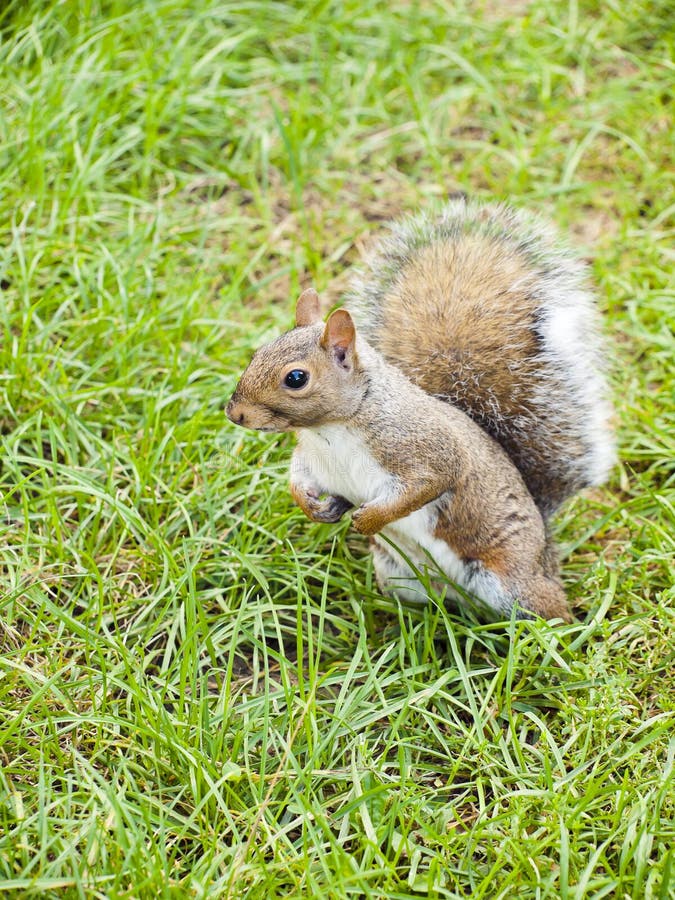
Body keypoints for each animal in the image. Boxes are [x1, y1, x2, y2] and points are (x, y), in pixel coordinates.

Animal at [226, 197, 616, 621]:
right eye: (257, 353)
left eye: (296, 378)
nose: (235, 413)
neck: (330, 431)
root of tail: (546, 552)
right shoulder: (315, 461)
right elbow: (298, 480)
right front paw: (313, 507)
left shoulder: (422, 448)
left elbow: (430, 483)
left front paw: (369, 519)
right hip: (399, 576)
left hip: (514, 581)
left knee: (550, 609)